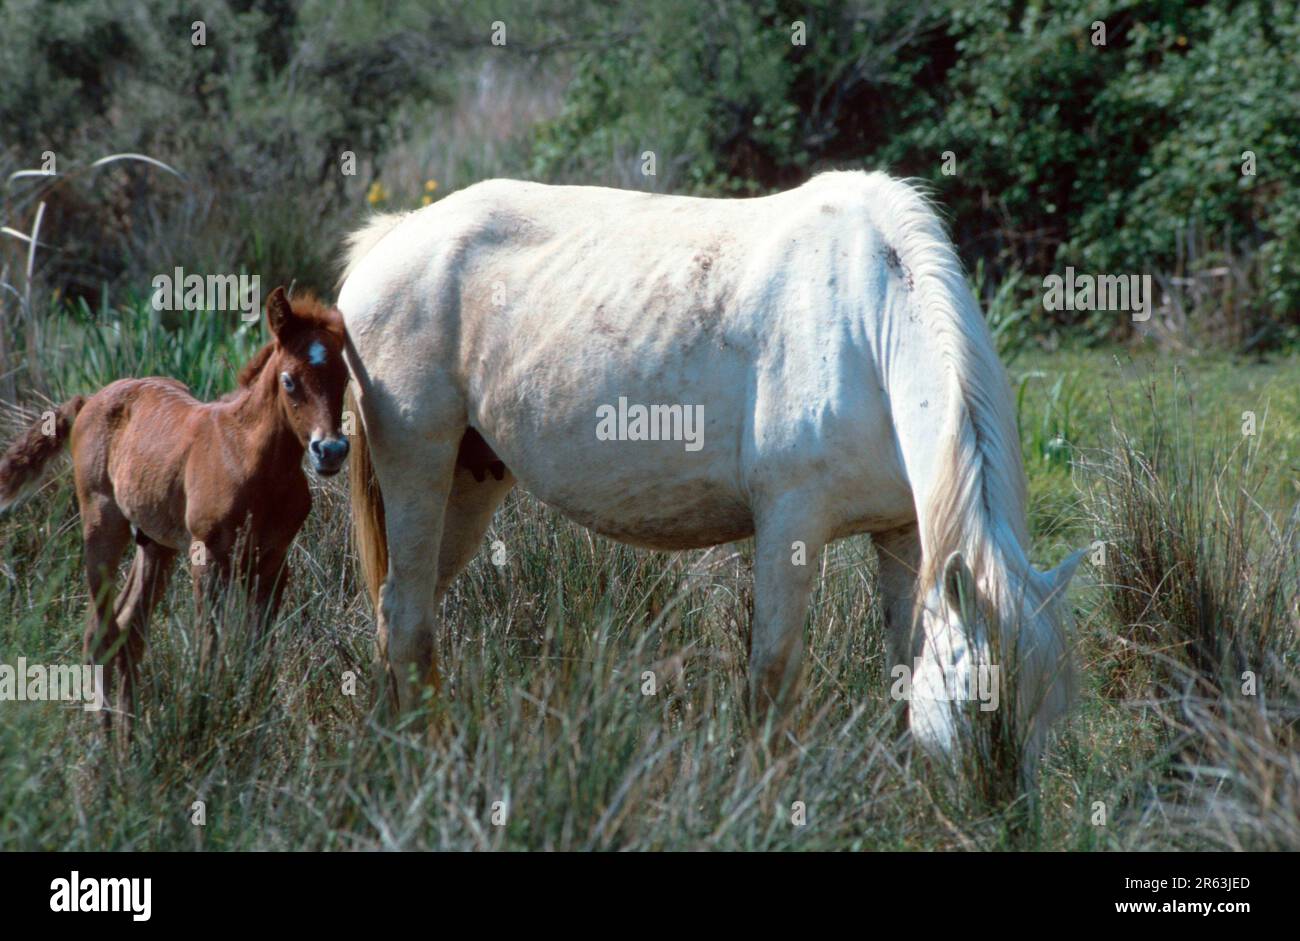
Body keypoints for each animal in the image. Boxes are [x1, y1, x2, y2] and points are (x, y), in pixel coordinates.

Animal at [0, 286, 351, 730]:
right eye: (289, 380)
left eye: (345, 377)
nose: (330, 450)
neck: (249, 457)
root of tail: (90, 399)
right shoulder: (208, 556)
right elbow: (209, 648)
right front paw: (206, 716)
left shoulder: (274, 562)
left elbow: (259, 653)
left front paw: (252, 716)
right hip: (102, 524)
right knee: (99, 632)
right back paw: (104, 738)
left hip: (154, 543)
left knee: (129, 629)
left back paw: (130, 733)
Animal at [339, 171, 1084, 771]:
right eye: (972, 702)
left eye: (1050, 711)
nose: (1002, 819)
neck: (869, 325)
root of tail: (392, 238)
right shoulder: (790, 526)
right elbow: (771, 677)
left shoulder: (902, 533)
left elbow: (903, 661)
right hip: (418, 467)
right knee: (406, 617)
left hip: (468, 485)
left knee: (404, 616)